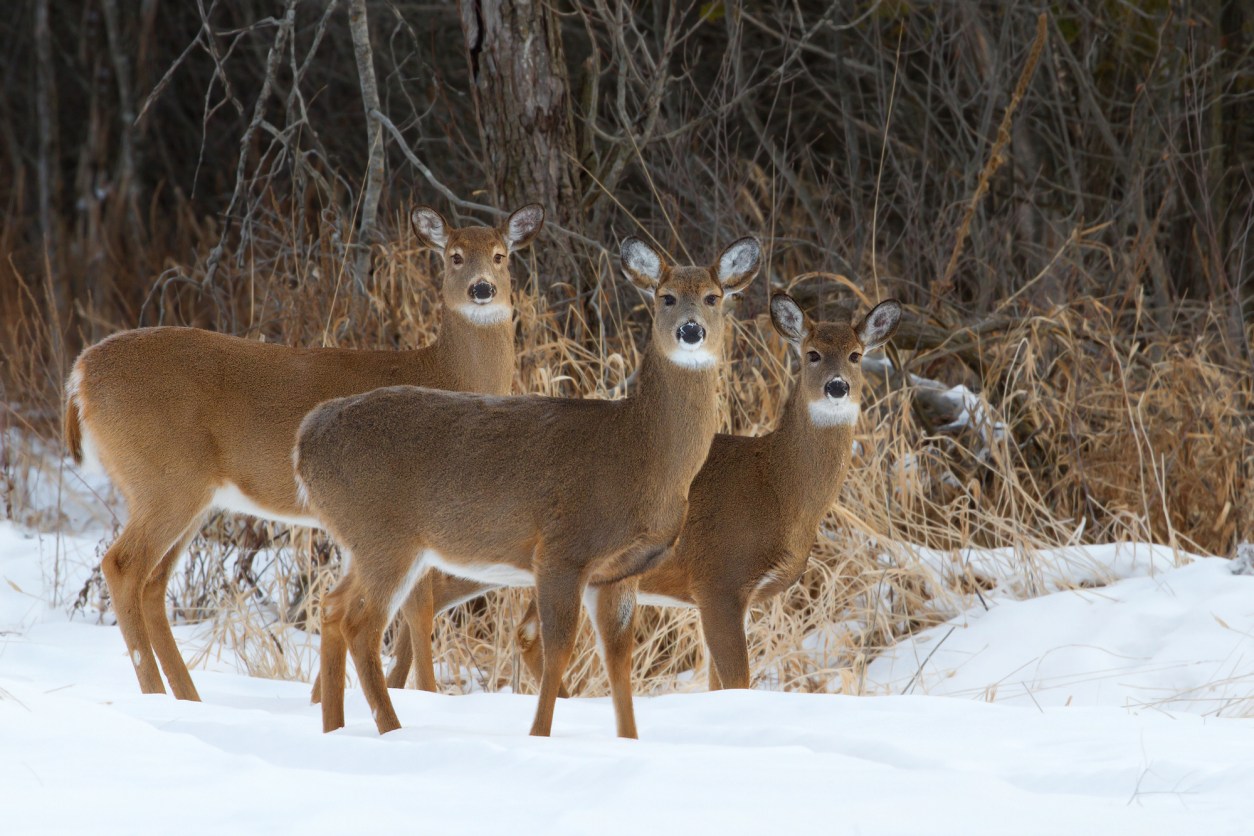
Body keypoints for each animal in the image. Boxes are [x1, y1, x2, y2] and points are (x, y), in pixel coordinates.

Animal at [62, 203, 545, 702]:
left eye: (501, 255)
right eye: (453, 256)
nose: (482, 289)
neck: (444, 373)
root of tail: (80, 375)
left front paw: (322, 698)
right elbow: (418, 610)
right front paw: (425, 696)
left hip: (189, 493)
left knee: (153, 583)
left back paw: (188, 697)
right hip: (164, 478)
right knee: (122, 566)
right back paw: (157, 693)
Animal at [293, 234, 761, 738]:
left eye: (713, 298)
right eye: (665, 297)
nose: (691, 331)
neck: (642, 454)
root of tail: (306, 438)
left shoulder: (620, 572)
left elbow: (619, 661)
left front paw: (628, 741)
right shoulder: (562, 549)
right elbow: (559, 649)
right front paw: (539, 735)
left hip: (359, 541)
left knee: (331, 607)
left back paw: (335, 728)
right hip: (385, 535)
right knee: (361, 623)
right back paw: (392, 729)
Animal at [386, 291, 901, 695]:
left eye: (856, 354)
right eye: (811, 353)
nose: (838, 387)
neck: (777, 487)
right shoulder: (719, 579)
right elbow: (737, 681)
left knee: (516, 630)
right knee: (425, 597)